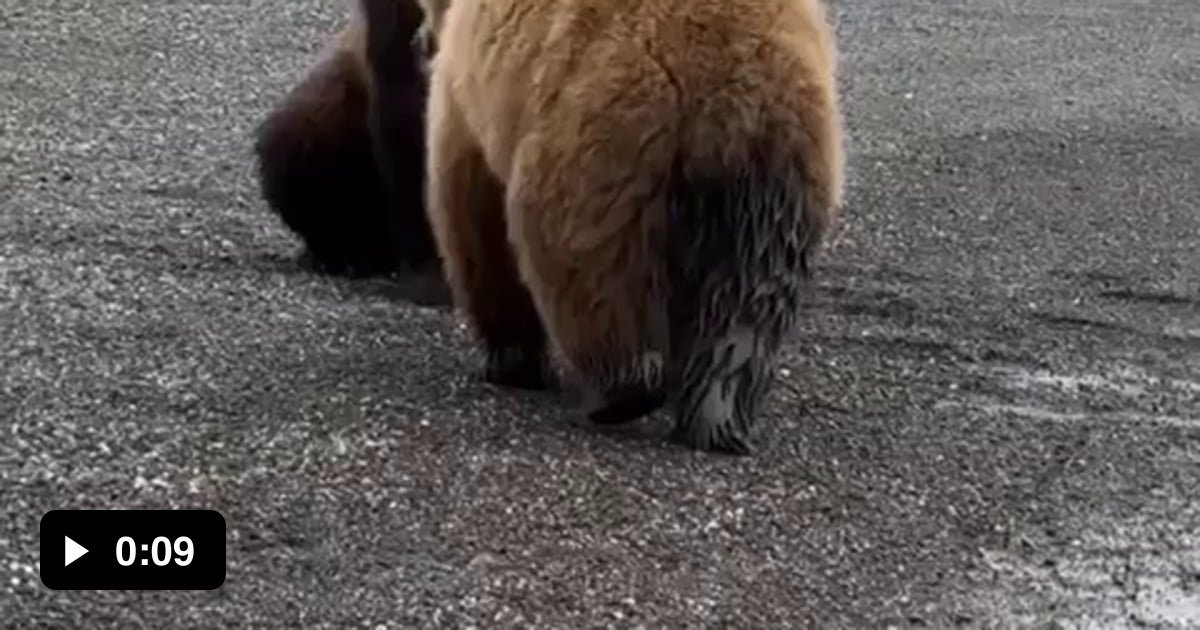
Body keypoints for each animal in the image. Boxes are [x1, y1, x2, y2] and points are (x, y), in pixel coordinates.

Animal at [416, 0, 845, 453]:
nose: (420, 42)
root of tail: (729, 89)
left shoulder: (468, 94)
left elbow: (474, 218)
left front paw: (510, 362)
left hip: (603, 145)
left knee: (593, 274)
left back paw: (621, 393)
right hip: (780, 170)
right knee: (750, 297)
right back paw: (718, 418)